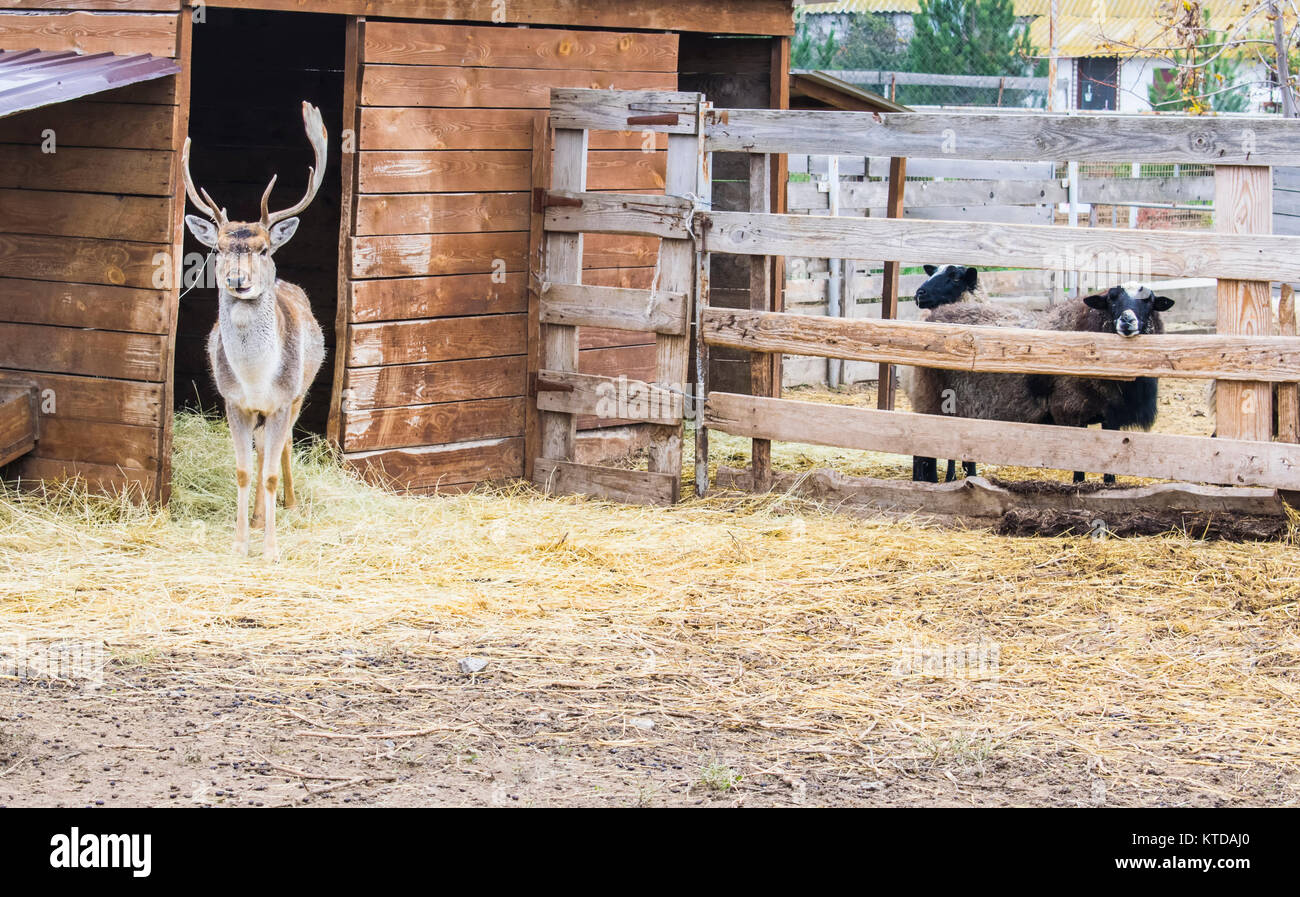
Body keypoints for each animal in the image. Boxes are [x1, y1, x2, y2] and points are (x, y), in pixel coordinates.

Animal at [181, 101, 327, 562]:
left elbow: (270, 473)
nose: (237, 280)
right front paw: (240, 542)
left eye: (263, 248)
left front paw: (271, 549)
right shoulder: (234, 402)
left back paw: (290, 505)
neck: (256, 378)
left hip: (302, 391)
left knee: (281, 448)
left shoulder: (283, 399)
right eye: (219, 247)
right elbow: (245, 472)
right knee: (264, 450)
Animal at [902, 267, 1174, 484]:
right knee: (921, 451)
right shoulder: (1069, 413)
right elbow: (1078, 473)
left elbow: (1110, 471)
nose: (1127, 321)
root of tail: (934, 315)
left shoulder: (1112, 420)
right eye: (1111, 300)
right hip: (931, 401)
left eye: (1149, 301)